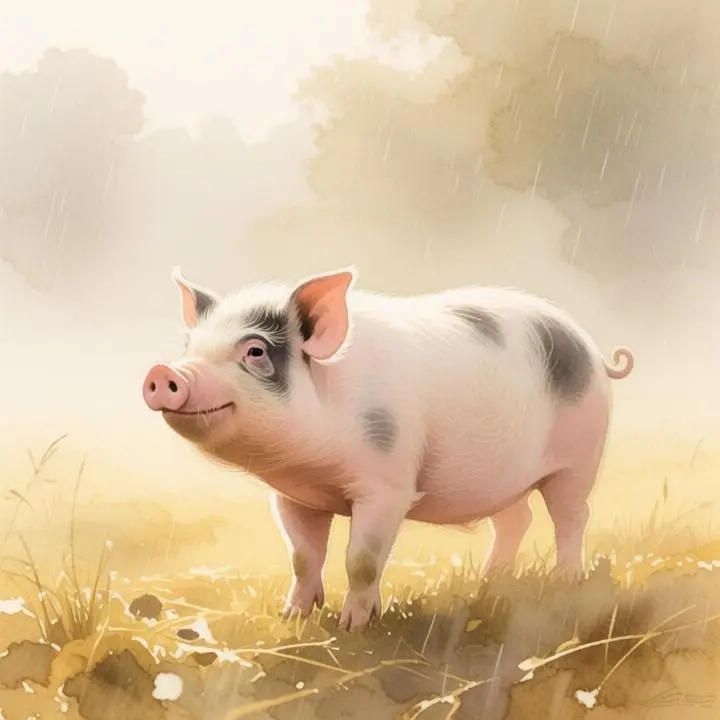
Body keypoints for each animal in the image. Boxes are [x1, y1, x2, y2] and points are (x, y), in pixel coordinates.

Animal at [142, 266, 634, 631]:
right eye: (189, 346)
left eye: (256, 352)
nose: (164, 372)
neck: (313, 469)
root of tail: (592, 350)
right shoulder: (290, 496)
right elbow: (302, 557)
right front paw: (293, 617)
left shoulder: (388, 485)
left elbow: (360, 560)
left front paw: (354, 627)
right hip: (503, 475)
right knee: (516, 519)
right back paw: (489, 582)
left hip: (581, 455)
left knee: (571, 517)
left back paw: (566, 580)